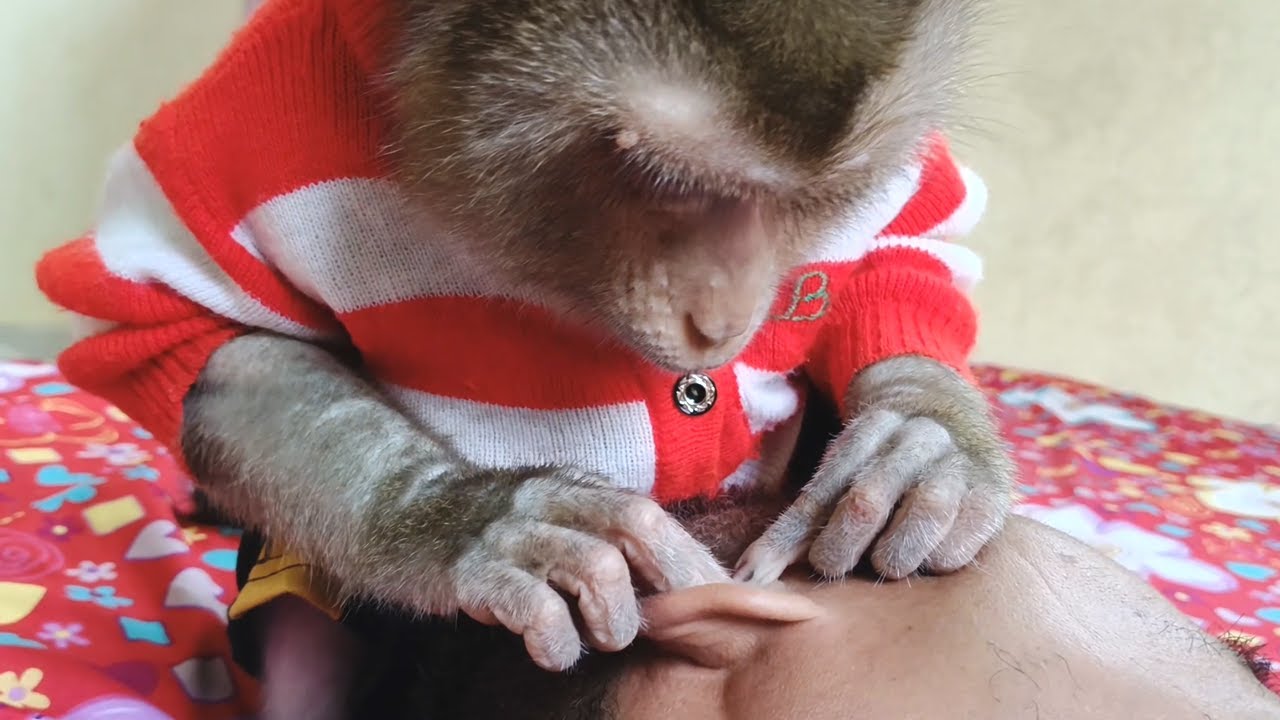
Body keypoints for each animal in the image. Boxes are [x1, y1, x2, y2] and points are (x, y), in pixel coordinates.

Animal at [34, 0, 1015, 717]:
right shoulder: (263, 116)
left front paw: (924, 447)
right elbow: (190, 334)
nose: (725, 318)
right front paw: (479, 524)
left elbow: (909, 231)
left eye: (820, 195)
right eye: (661, 179)